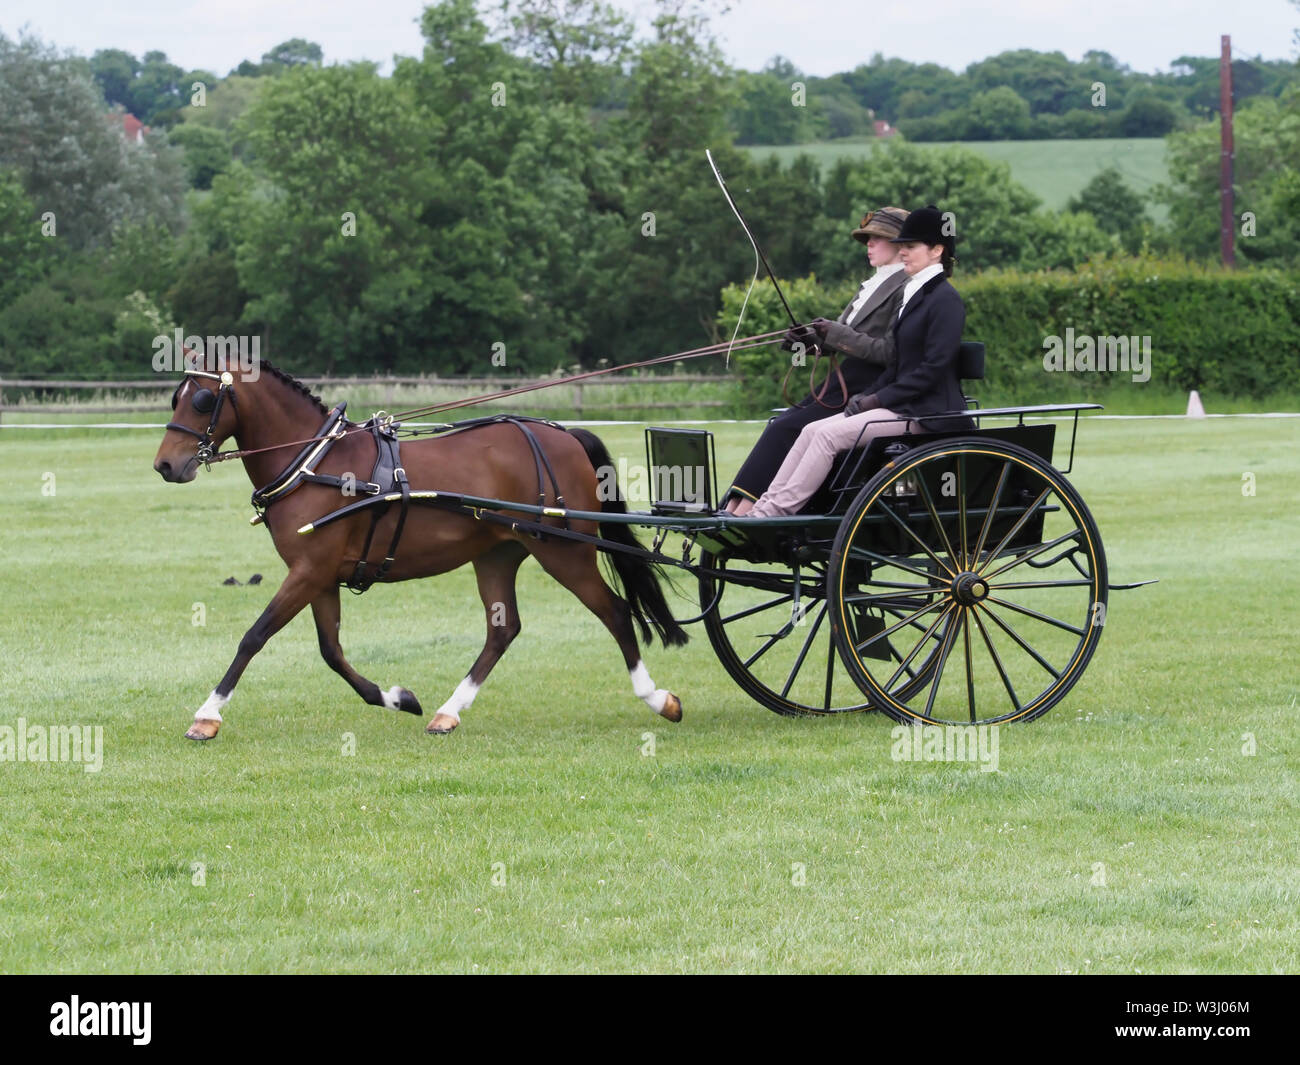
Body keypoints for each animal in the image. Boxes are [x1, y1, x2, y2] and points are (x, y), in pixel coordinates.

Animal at [152, 354, 687, 740]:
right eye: (176, 396)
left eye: (202, 399)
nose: (165, 466)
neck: (315, 463)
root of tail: (565, 437)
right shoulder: (319, 576)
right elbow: (331, 652)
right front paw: (398, 698)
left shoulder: (308, 571)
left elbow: (254, 636)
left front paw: (207, 715)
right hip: (496, 554)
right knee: (503, 630)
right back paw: (449, 712)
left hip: (564, 552)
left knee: (615, 612)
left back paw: (658, 698)